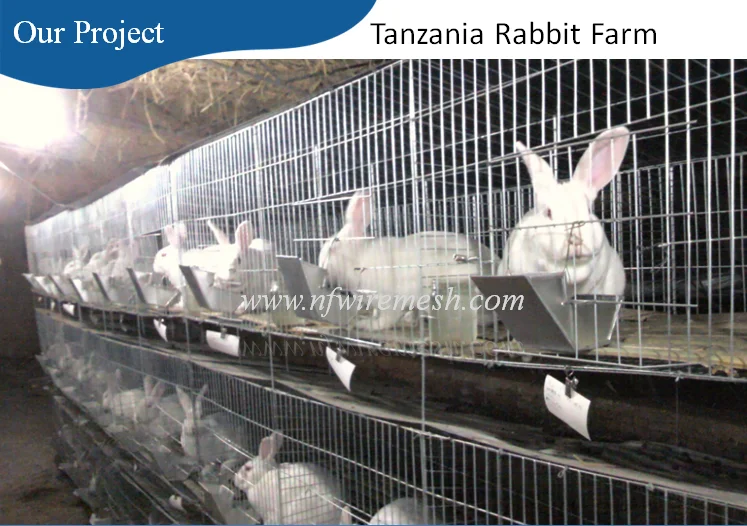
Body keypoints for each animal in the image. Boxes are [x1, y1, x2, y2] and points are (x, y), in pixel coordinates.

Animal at [318, 190, 500, 332]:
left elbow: (385, 320)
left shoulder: (387, 300)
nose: (321, 267)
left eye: (332, 247)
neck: (358, 258)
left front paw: (366, 324)